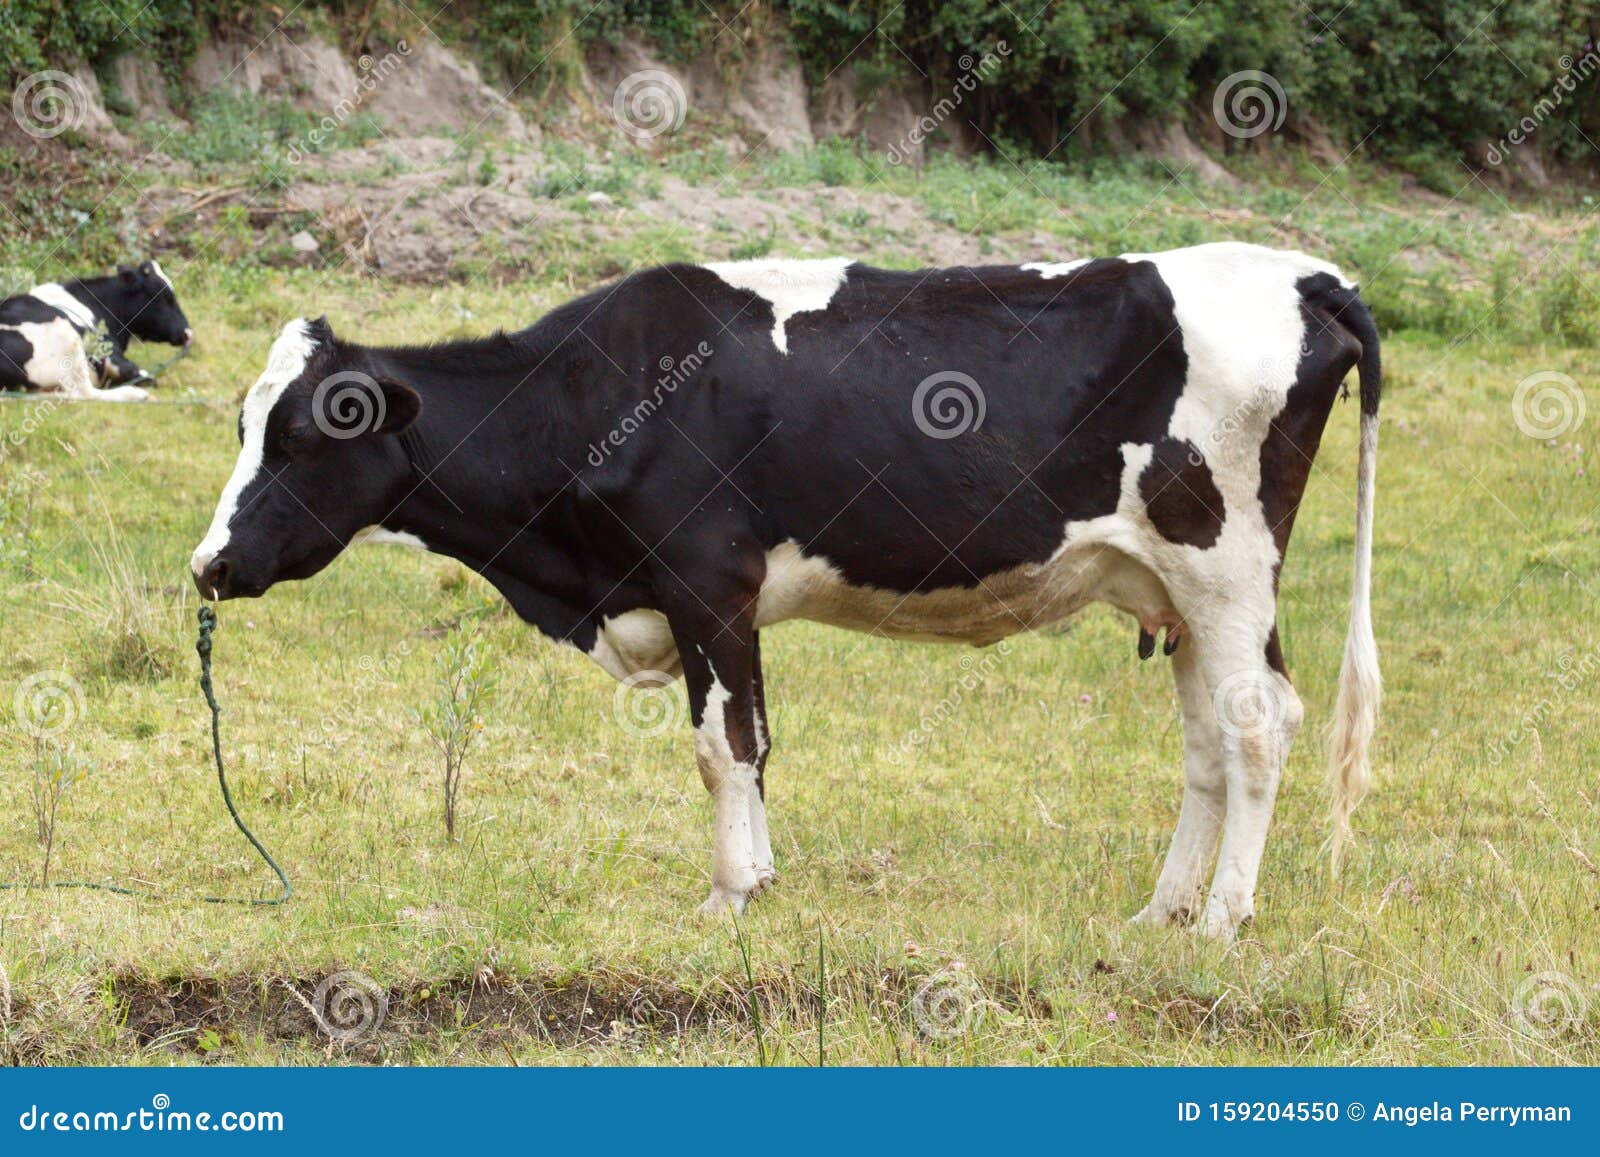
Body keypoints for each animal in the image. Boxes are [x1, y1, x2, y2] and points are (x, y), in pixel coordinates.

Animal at [0, 262, 193, 402]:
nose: (188, 333)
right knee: (86, 394)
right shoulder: (110, 355)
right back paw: (136, 395)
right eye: (162, 296)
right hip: (68, 339)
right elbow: (146, 376)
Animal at [190, 241, 1381, 938]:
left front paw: (728, 895)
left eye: (308, 430)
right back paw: (1163, 908)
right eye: (243, 422)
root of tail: (1309, 273)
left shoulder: (705, 579)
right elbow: (755, 738)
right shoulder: (718, 598)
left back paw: (1223, 918)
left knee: (1262, 726)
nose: (208, 565)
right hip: (1174, 592)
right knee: (1208, 740)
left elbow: (724, 745)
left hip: (1227, 568)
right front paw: (757, 878)